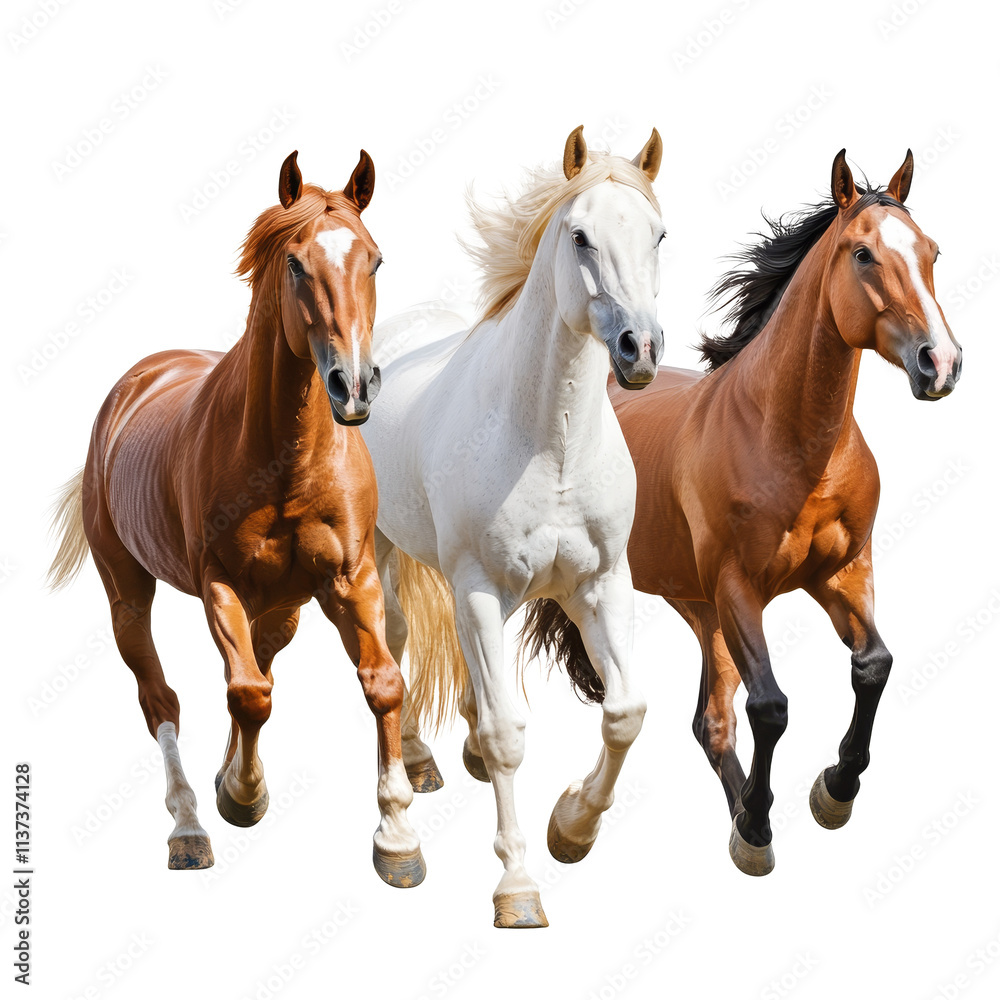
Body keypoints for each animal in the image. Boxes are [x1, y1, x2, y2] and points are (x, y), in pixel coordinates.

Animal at [47, 150, 427, 887]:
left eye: (374, 259)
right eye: (296, 264)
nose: (353, 386)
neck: (286, 461)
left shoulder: (351, 578)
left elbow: (383, 684)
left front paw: (398, 838)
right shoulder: (218, 583)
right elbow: (248, 693)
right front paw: (243, 798)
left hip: (283, 604)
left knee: (263, 663)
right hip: (127, 592)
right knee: (163, 699)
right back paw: (190, 826)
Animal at [360, 125, 666, 926]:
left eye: (658, 234)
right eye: (580, 234)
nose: (641, 349)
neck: (549, 443)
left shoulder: (600, 585)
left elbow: (625, 713)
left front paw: (574, 828)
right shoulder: (477, 587)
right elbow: (506, 735)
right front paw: (518, 886)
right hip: (385, 549)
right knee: (395, 640)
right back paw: (406, 799)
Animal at [598, 149, 961, 875]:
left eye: (931, 251)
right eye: (863, 255)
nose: (941, 363)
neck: (787, 442)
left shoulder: (841, 574)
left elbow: (873, 665)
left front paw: (834, 790)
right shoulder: (740, 587)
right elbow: (770, 706)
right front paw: (761, 826)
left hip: (697, 605)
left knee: (710, 719)